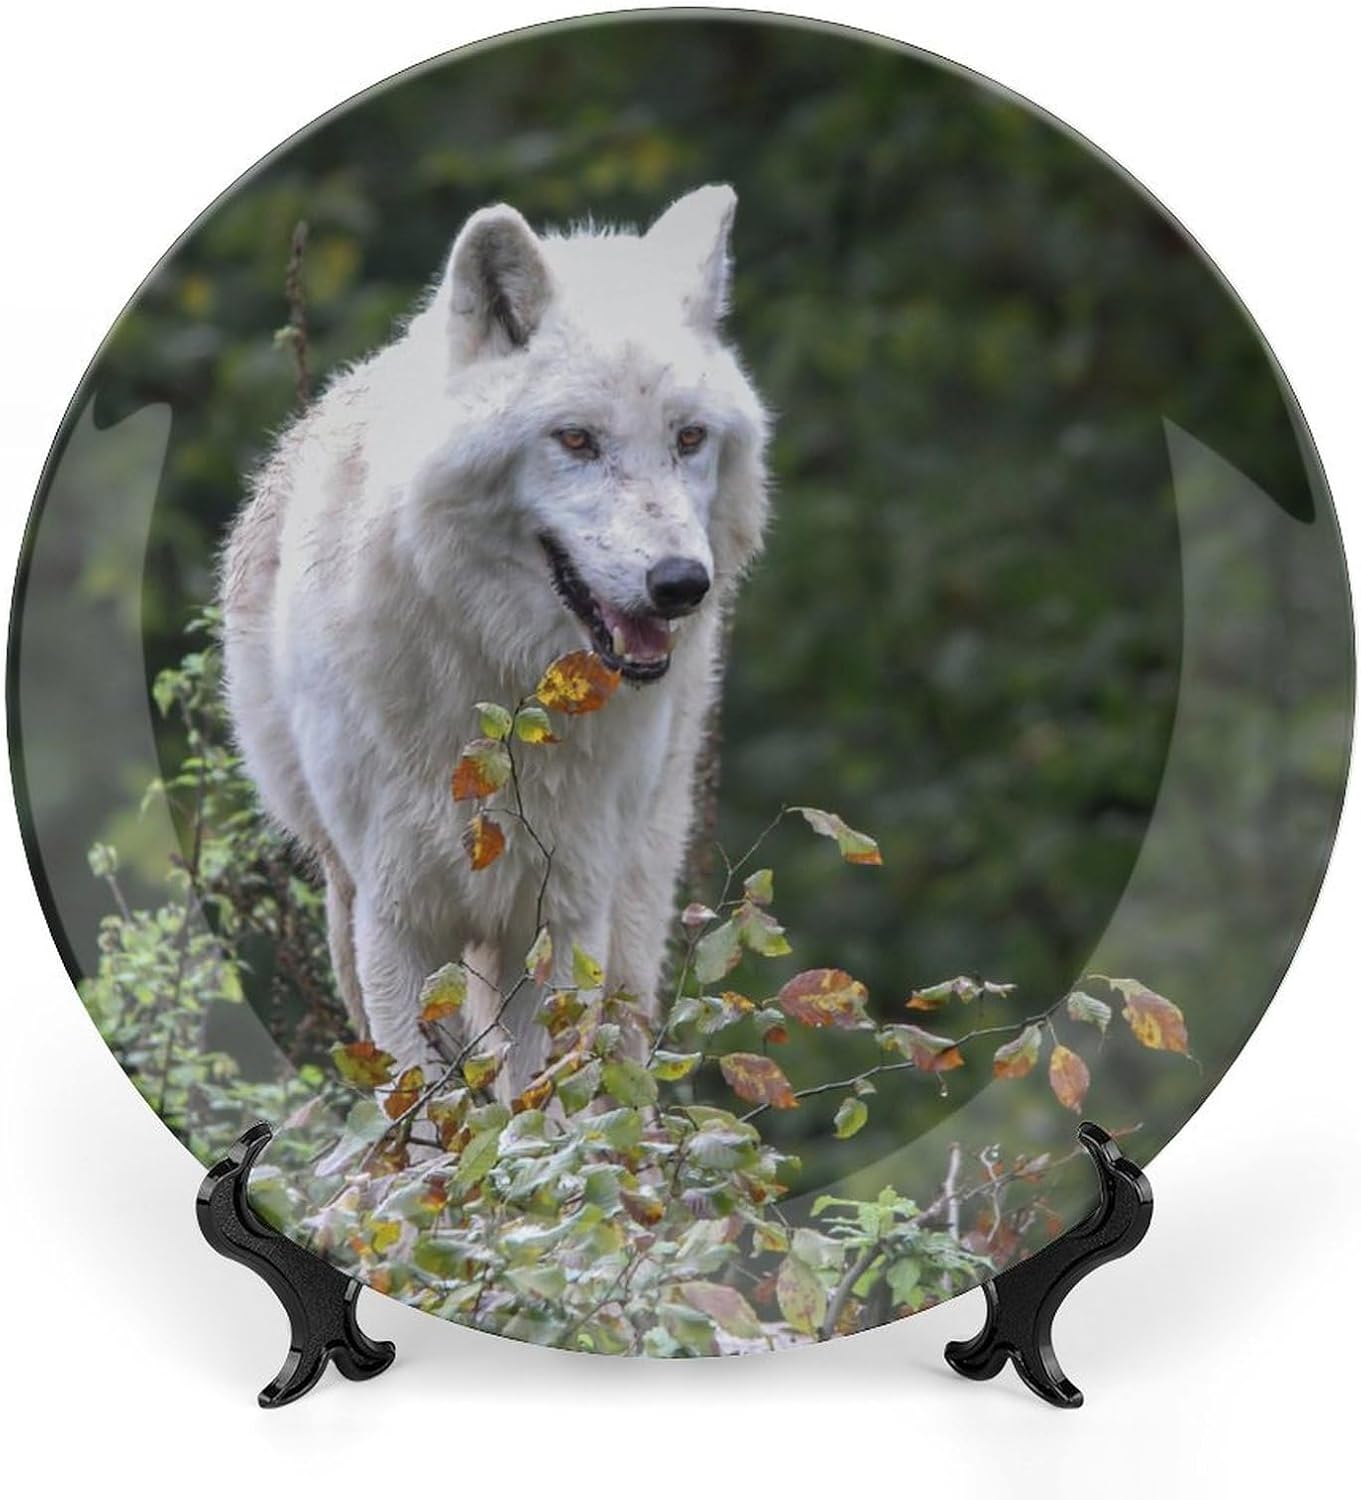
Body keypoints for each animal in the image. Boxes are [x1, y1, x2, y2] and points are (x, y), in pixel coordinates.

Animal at [220, 185, 770, 1089]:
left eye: (688, 438)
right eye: (577, 439)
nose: (680, 584)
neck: (506, 687)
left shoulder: (566, 916)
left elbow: (547, 1098)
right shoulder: (395, 925)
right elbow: (424, 1103)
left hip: (637, 893)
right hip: (343, 902)